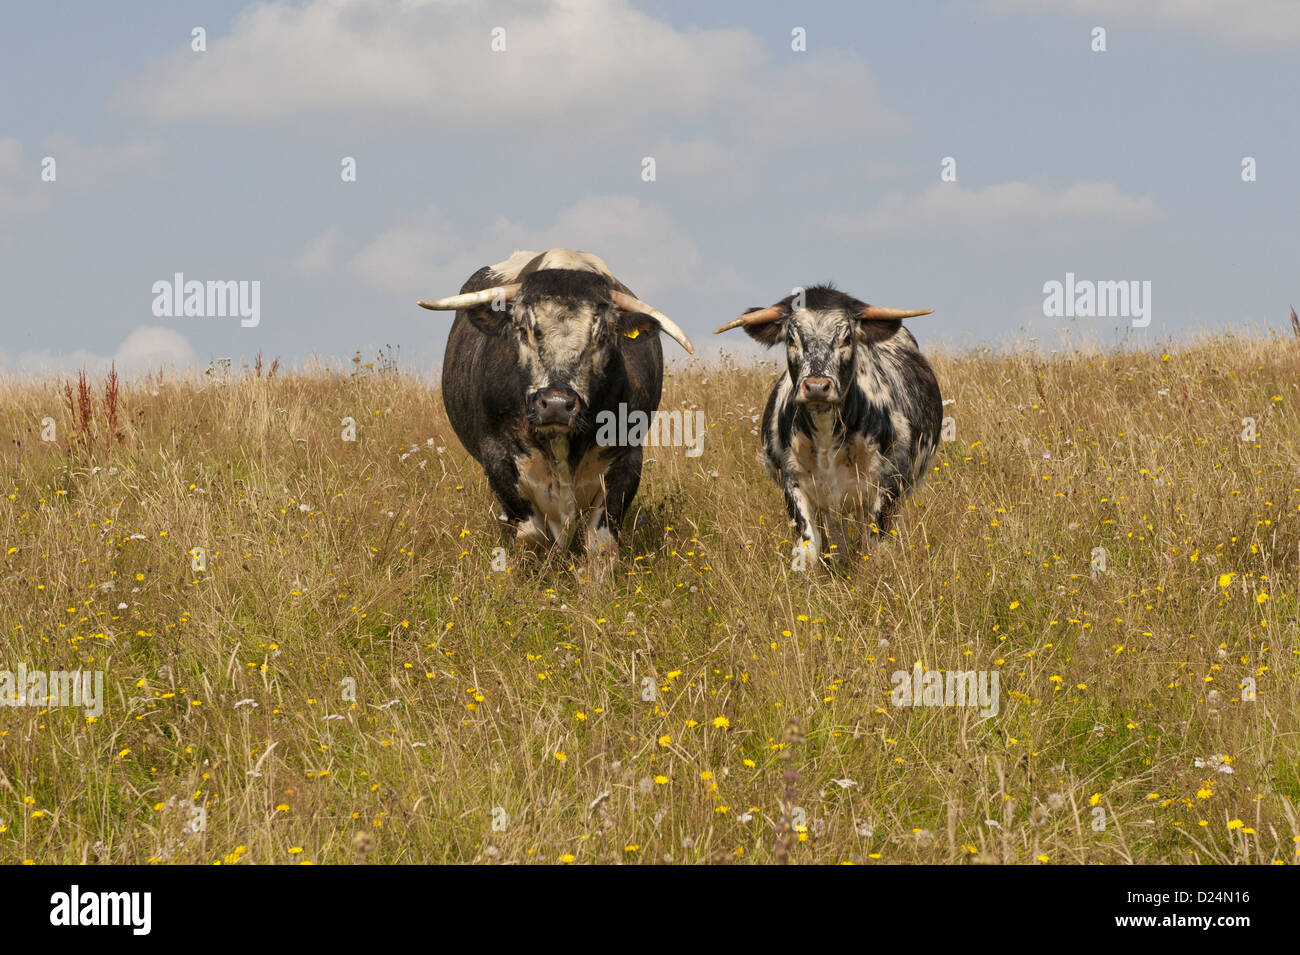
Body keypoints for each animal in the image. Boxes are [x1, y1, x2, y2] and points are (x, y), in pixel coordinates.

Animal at [419, 249, 695, 558]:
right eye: (523, 329)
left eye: (602, 336)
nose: (556, 404)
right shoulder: (496, 454)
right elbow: (531, 533)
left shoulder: (628, 459)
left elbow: (600, 542)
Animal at [715, 284, 941, 565]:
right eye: (791, 340)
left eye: (846, 338)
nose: (816, 386)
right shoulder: (794, 484)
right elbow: (809, 548)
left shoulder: (888, 484)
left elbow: (875, 544)